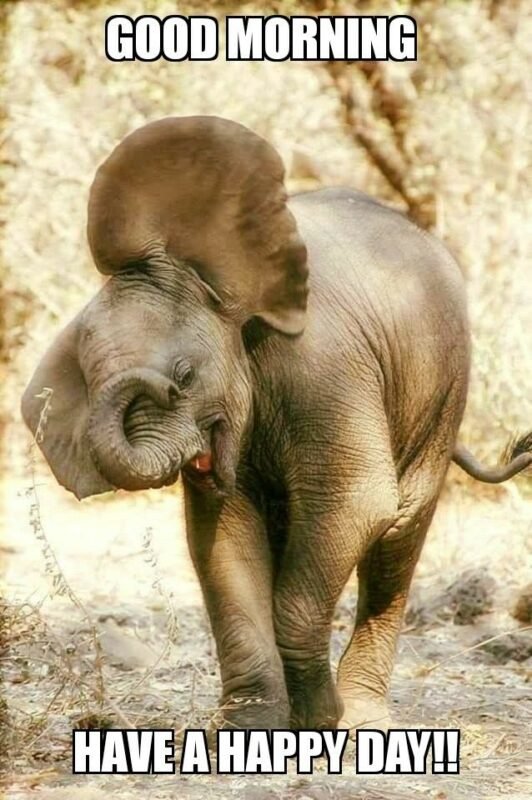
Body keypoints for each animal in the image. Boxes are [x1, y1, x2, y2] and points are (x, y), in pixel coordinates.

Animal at [22, 116, 531, 732]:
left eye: (184, 375)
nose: (155, 386)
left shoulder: (325, 364)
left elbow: (357, 502)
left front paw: (321, 720)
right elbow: (221, 538)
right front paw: (250, 730)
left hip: (445, 385)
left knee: (399, 534)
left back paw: (363, 718)